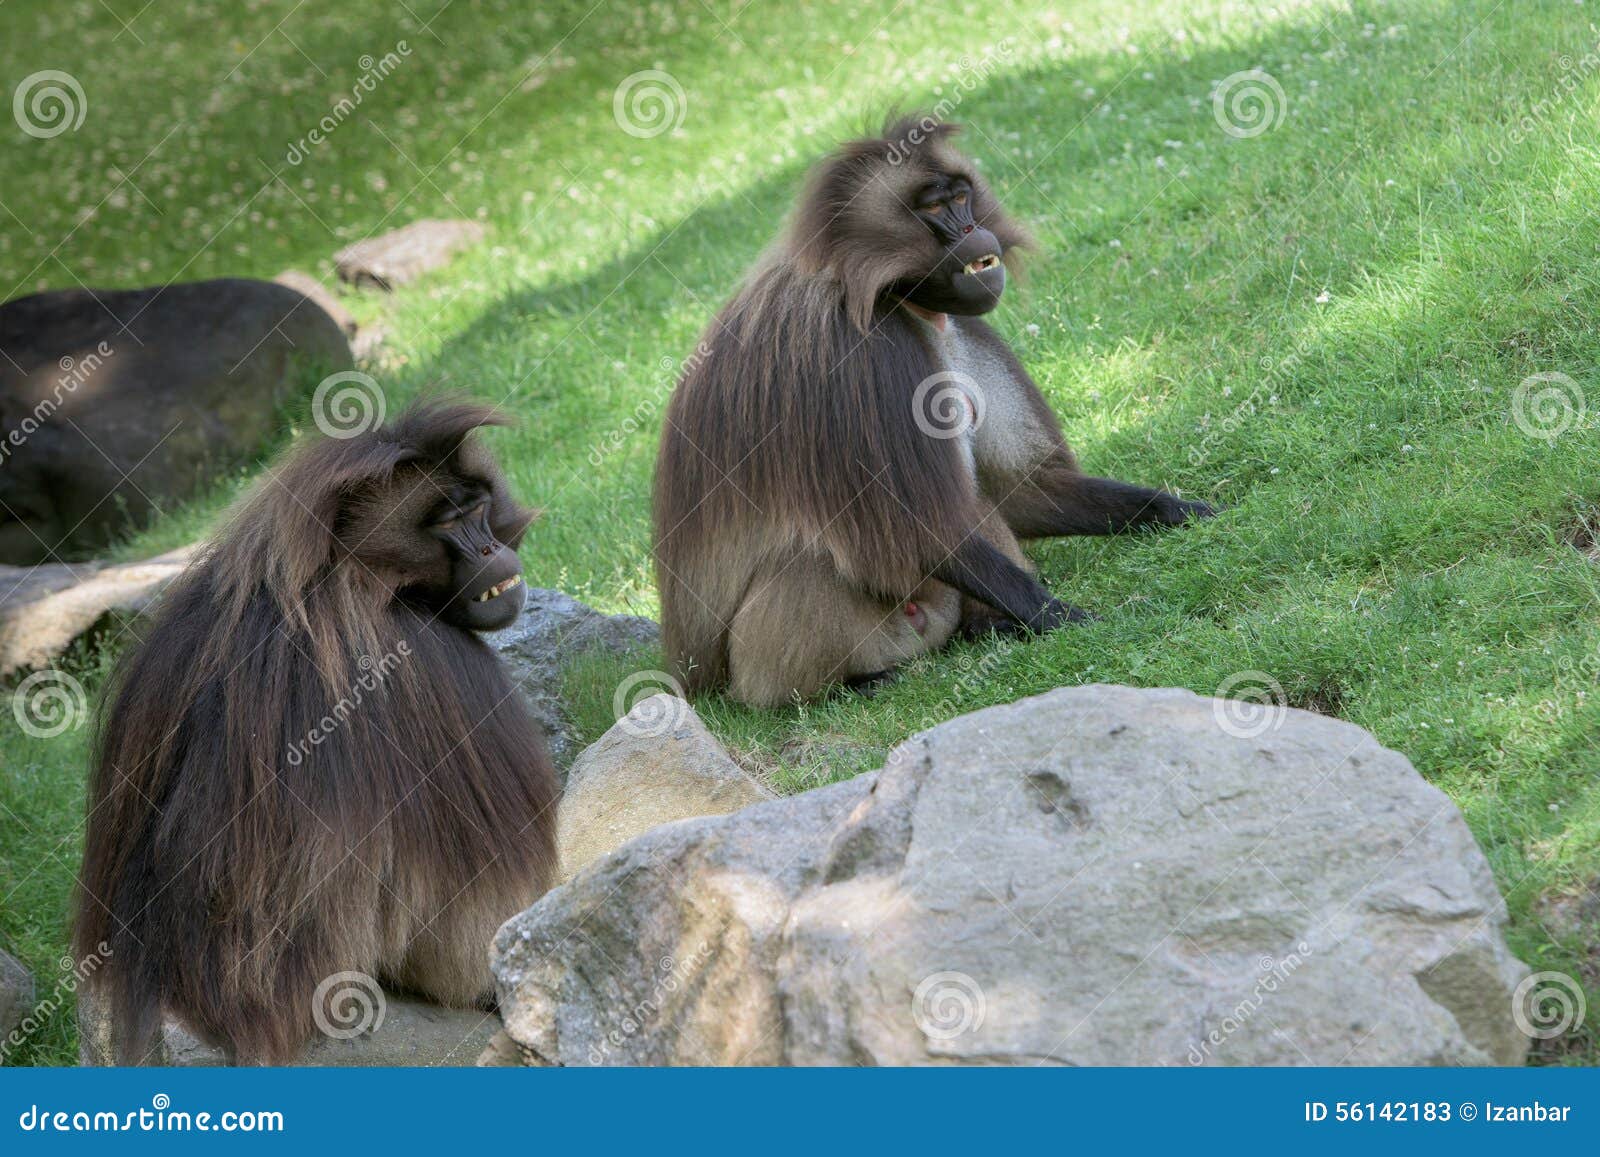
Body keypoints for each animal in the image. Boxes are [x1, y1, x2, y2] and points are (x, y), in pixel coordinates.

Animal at [73, 399, 558, 1065]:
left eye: (476, 506)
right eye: (447, 521)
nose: (488, 549)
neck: (342, 575)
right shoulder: (438, 662)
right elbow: (469, 929)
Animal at [654, 116, 1215, 707]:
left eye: (962, 195)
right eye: (933, 207)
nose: (972, 229)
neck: (888, 292)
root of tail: (693, 679)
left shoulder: (966, 329)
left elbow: (1026, 490)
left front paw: (1180, 510)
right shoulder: (854, 353)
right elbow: (920, 528)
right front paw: (1062, 615)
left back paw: (988, 627)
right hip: (839, 645)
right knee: (816, 563)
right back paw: (841, 687)